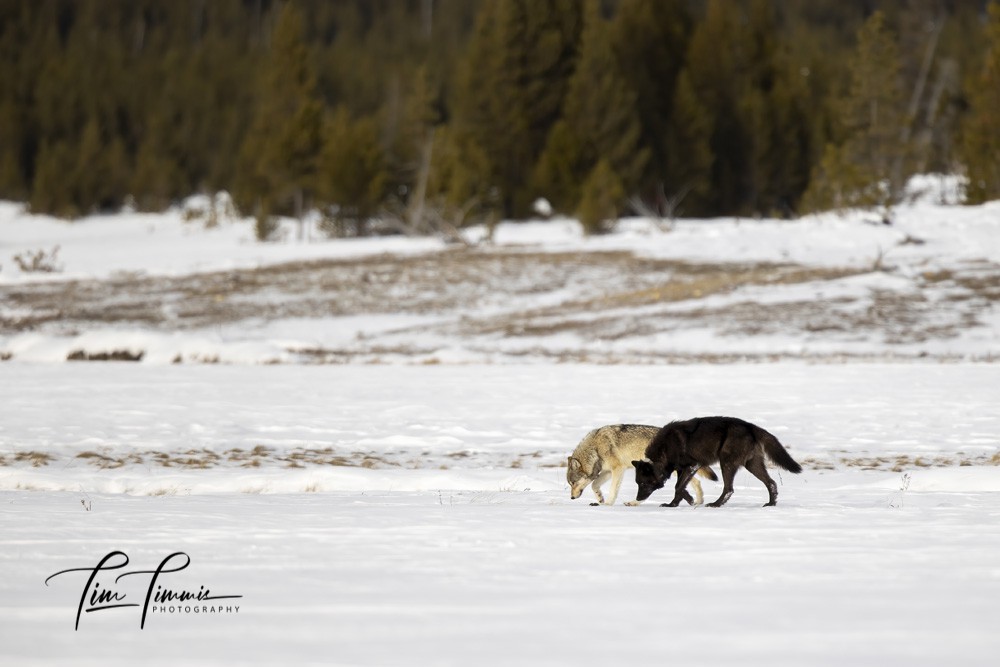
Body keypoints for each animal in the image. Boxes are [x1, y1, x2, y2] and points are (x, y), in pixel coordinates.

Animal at [567, 424, 717, 506]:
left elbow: (613, 490)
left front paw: (608, 503)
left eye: (573, 483)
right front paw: (600, 498)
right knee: (696, 481)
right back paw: (698, 501)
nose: (571, 498)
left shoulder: (618, 469)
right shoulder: (608, 471)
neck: (595, 448)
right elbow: (594, 484)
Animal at [632, 416, 802, 508]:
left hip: (726, 464)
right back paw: (771, 504)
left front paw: (691, 500)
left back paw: (716, 504)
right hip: (751, 465)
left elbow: (678, 486)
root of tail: (751, 427)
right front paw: (672, 505)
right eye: (637, 483)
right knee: (771, 483)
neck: (666, 448)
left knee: (729, 489)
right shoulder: (682, 469)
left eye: (643, 483)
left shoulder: (694, 465)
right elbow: (679, 488)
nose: (638, 499)